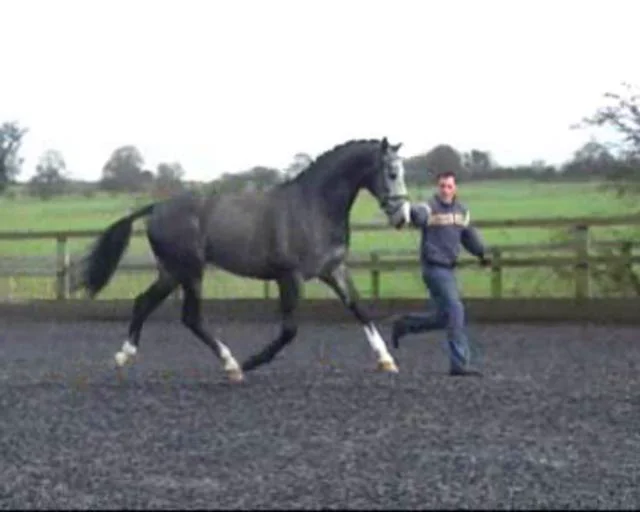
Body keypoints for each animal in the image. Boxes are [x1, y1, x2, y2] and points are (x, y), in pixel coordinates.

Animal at [70, 137, 411, 383]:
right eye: (392, 173)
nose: (403, 217)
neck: (313, 208)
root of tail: (157, 207)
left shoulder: (334, 270)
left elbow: (359, 309)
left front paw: (387, 361)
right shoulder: (289, 277)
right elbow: (289, 330)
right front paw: (252, 362)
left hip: (172, 272)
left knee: (144, 302)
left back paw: (124, 356)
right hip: (190, 271)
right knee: (191, 317)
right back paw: (232, 365)